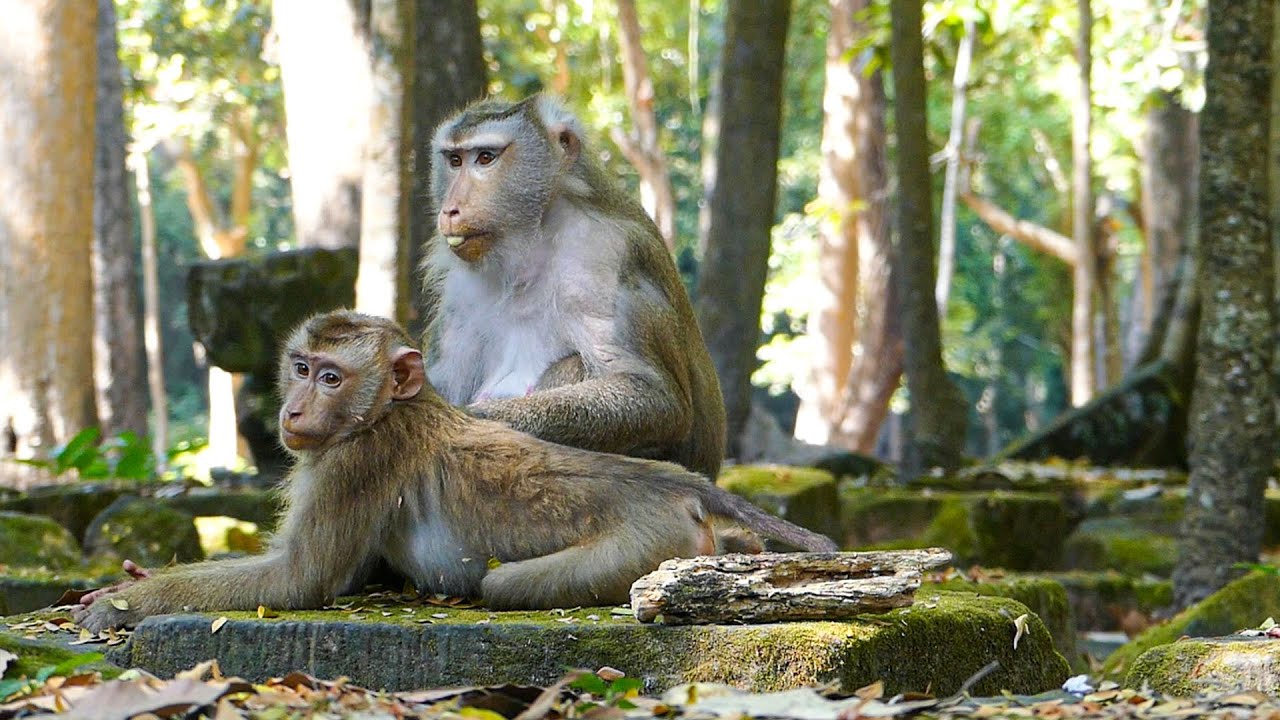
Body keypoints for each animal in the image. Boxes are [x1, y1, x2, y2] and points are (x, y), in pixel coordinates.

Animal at [73, 311, 836, 632]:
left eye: (330, 377)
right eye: (299, 367)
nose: (293, 409)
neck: (388, 409)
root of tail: (678, 485)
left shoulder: (352, 461)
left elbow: (299, 580)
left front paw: (126, 599)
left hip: (650, 543)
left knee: (503, 585)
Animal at [422, 94, 726, 479]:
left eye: (486, 158)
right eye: (455, 160)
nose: (450, 209)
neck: (534, 242)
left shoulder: (602, 259)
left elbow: (653, 396)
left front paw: (480, 419)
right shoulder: (459, 292)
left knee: (574, 364)